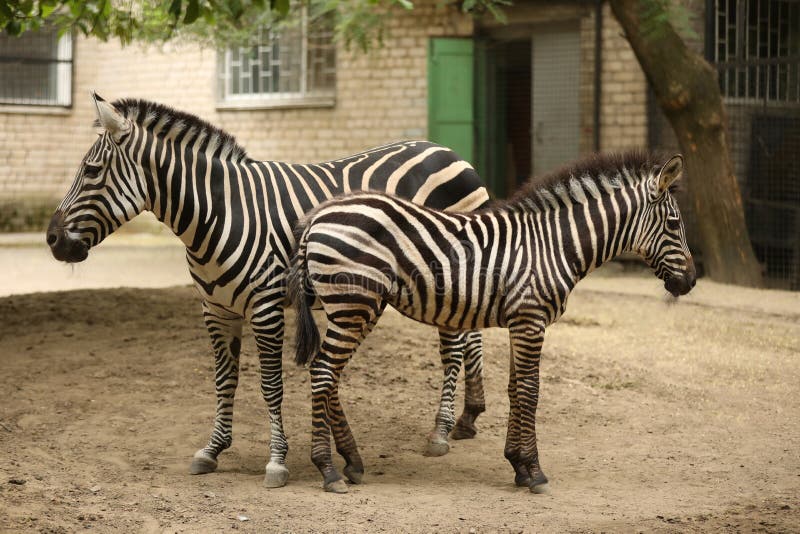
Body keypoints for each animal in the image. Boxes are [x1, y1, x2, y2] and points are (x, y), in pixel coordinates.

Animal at [46, 93, 491, 488]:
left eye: (91, 171)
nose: (52, 239)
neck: (217, 213)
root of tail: (446, 150)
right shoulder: (216, 309)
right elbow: (224, 380)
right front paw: (213, 449)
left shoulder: (265, 307)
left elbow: (271, 385)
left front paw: (277, 460)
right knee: (470, 337)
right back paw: (469, 416)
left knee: (454, 346)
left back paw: (441, 431)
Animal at [288, 150, 696, 493]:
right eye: (674, 223)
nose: (691, 282)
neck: (554, 245)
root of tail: (317, 218)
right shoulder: (531, 318)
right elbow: (531, 391)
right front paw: (534, 471)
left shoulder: (521, 320)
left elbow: (516, 389)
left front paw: (517, 464)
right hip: (352, 302)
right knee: (323, 372)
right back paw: (328, 469)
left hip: (359, 306)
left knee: (329, 375)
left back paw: (352, 462)